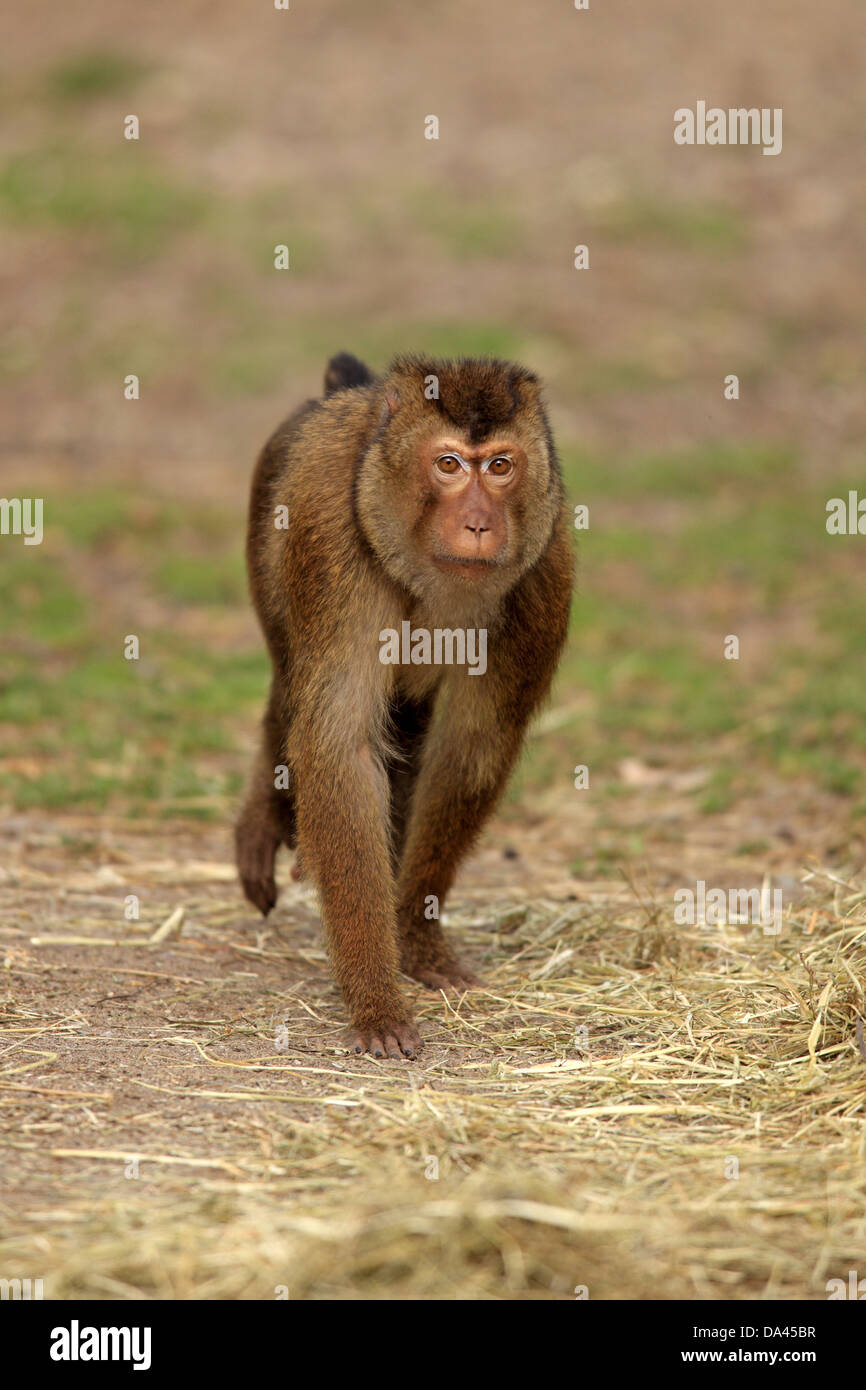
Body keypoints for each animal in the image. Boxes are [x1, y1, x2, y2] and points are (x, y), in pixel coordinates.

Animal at [235, 352, 574, 1058]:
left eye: (500, 466)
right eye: (448, 464)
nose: (479, 524)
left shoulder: (544, 564)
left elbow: (474, 745)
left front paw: (415, 937)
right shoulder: (330, 540)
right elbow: (340, 746)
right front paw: (376, 997)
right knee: (290, 683)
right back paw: (265, 818)